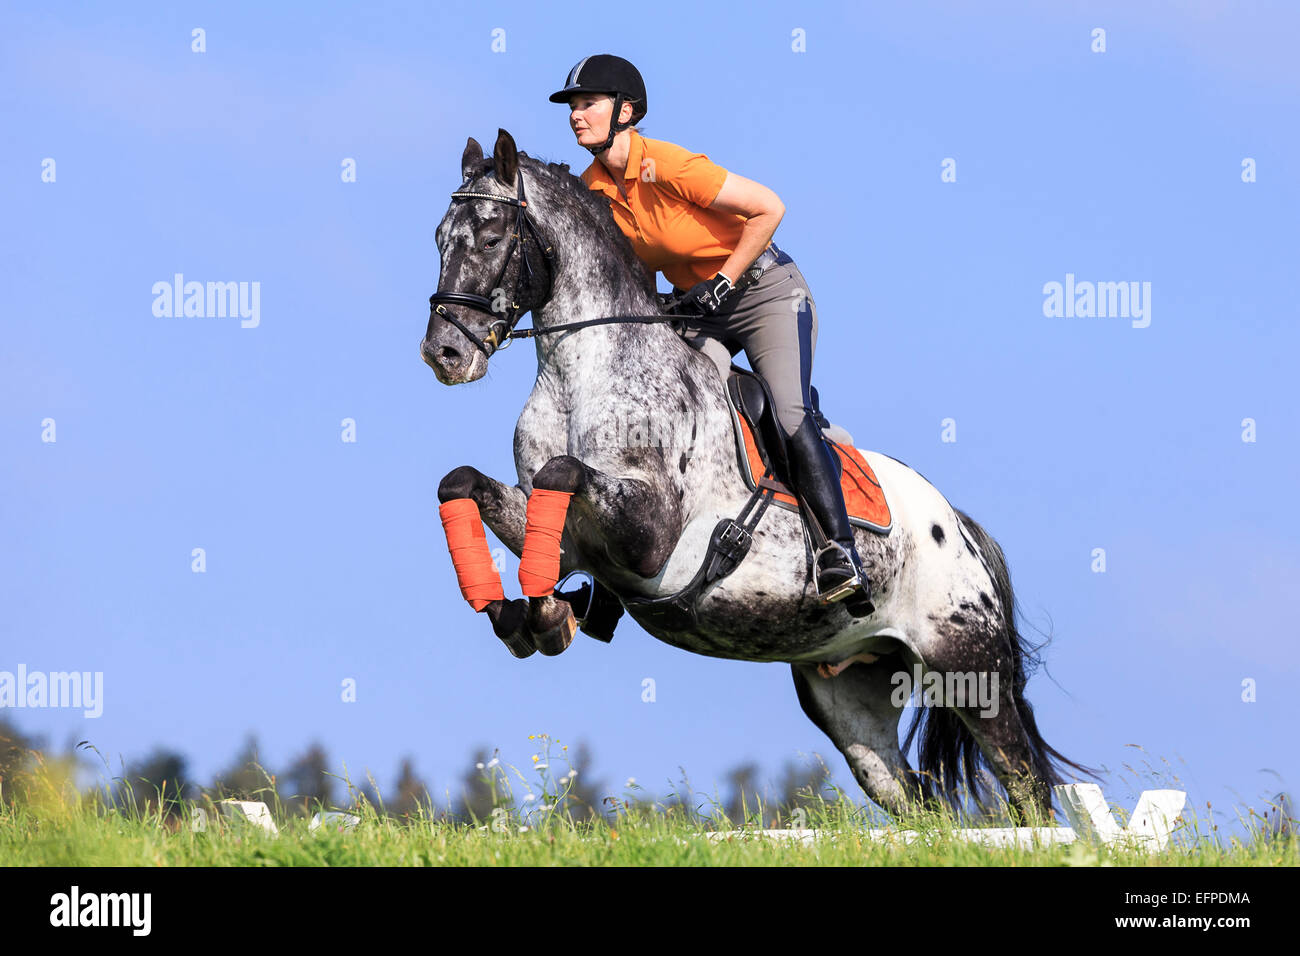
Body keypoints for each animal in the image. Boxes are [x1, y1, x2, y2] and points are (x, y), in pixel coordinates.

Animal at [422, 129, 1096, 825]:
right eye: (440, 237)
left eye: (492, 237)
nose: (444, 353)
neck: (578, 375)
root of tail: (960, 529)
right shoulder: (559, 524)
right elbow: (463, 484)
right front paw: (530, 614)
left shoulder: (646, 535)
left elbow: (564, 472)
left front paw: (546, 613)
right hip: (851, 694)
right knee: (915, 801)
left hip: (968, 667)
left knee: (1026, 785)